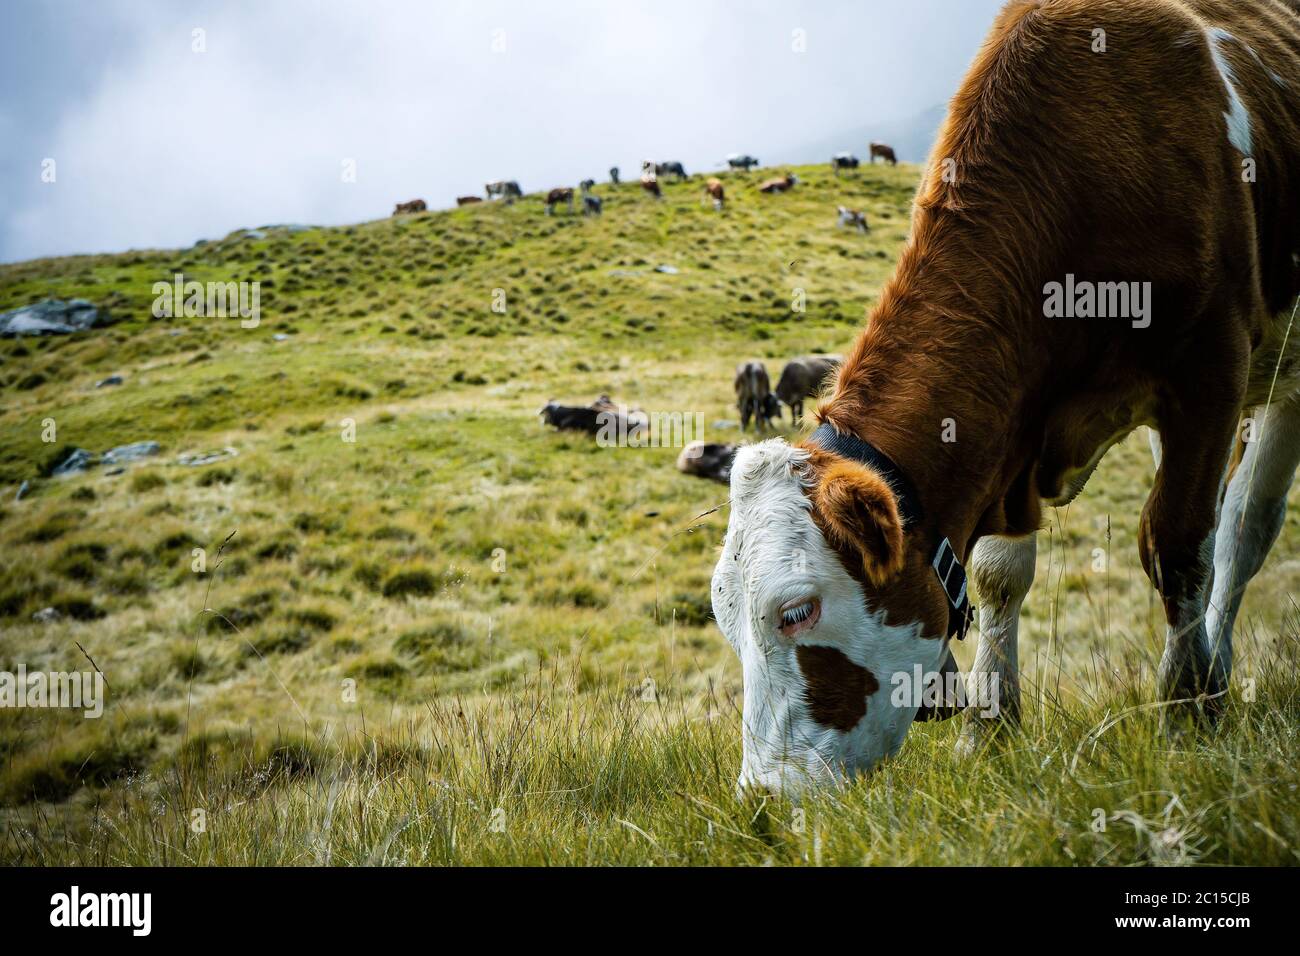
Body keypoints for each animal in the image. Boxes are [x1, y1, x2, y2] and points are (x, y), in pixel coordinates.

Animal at [711, 0, 1300, 797]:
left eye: (798, 610)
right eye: (725, 620)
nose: (763, 798)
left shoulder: (1209, 368)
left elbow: (1178, 545)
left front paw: (1184, 716)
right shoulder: (1006, 427)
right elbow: (996, 576)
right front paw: (989, 730)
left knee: (1241, 529)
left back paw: (1212, 677)